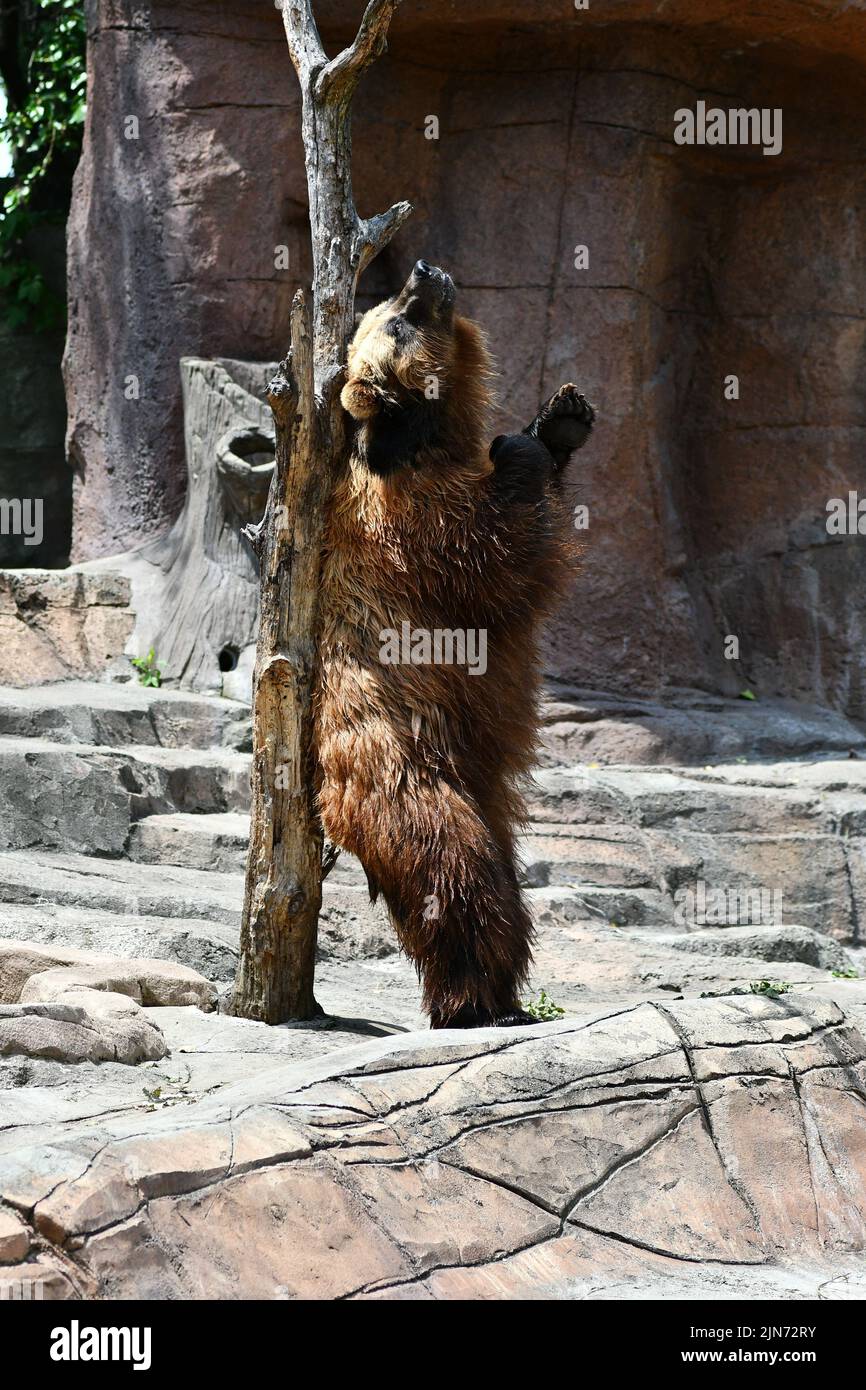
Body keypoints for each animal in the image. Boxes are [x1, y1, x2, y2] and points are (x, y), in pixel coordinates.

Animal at [315, 259, 594, 1028]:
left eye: (384, 306)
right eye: (395, 321)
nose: (423, 269)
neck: (427, 439)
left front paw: (561, 416)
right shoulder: (411, 528)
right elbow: (500, 558)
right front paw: (523, 448)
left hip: (477, 772)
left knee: (501, 860)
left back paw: (505, 995)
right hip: (397, 754)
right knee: (451, 862)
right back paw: (474, 997)